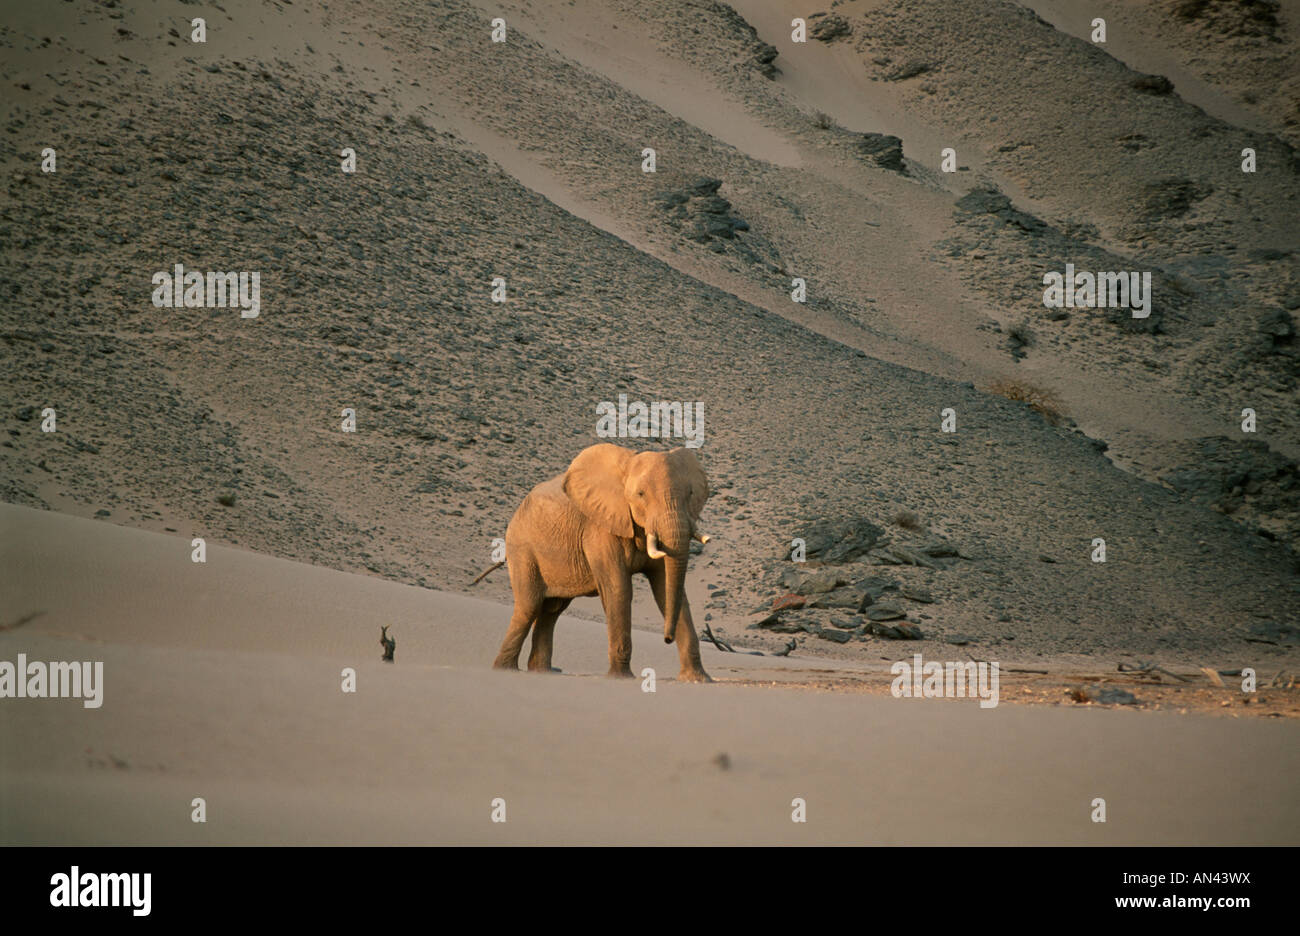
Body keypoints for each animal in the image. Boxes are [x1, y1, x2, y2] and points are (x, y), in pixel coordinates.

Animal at [491, 443, 713, 682]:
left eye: (690, 493)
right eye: (641, 494)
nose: (667, 639)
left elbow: (668, 589)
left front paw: (697, 679)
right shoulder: (600, 528)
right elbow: (619, 589)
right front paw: (621, 678)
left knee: (551, 611)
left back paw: (540, 671)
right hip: (522, 548)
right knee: (529, 606)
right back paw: (504, 670)